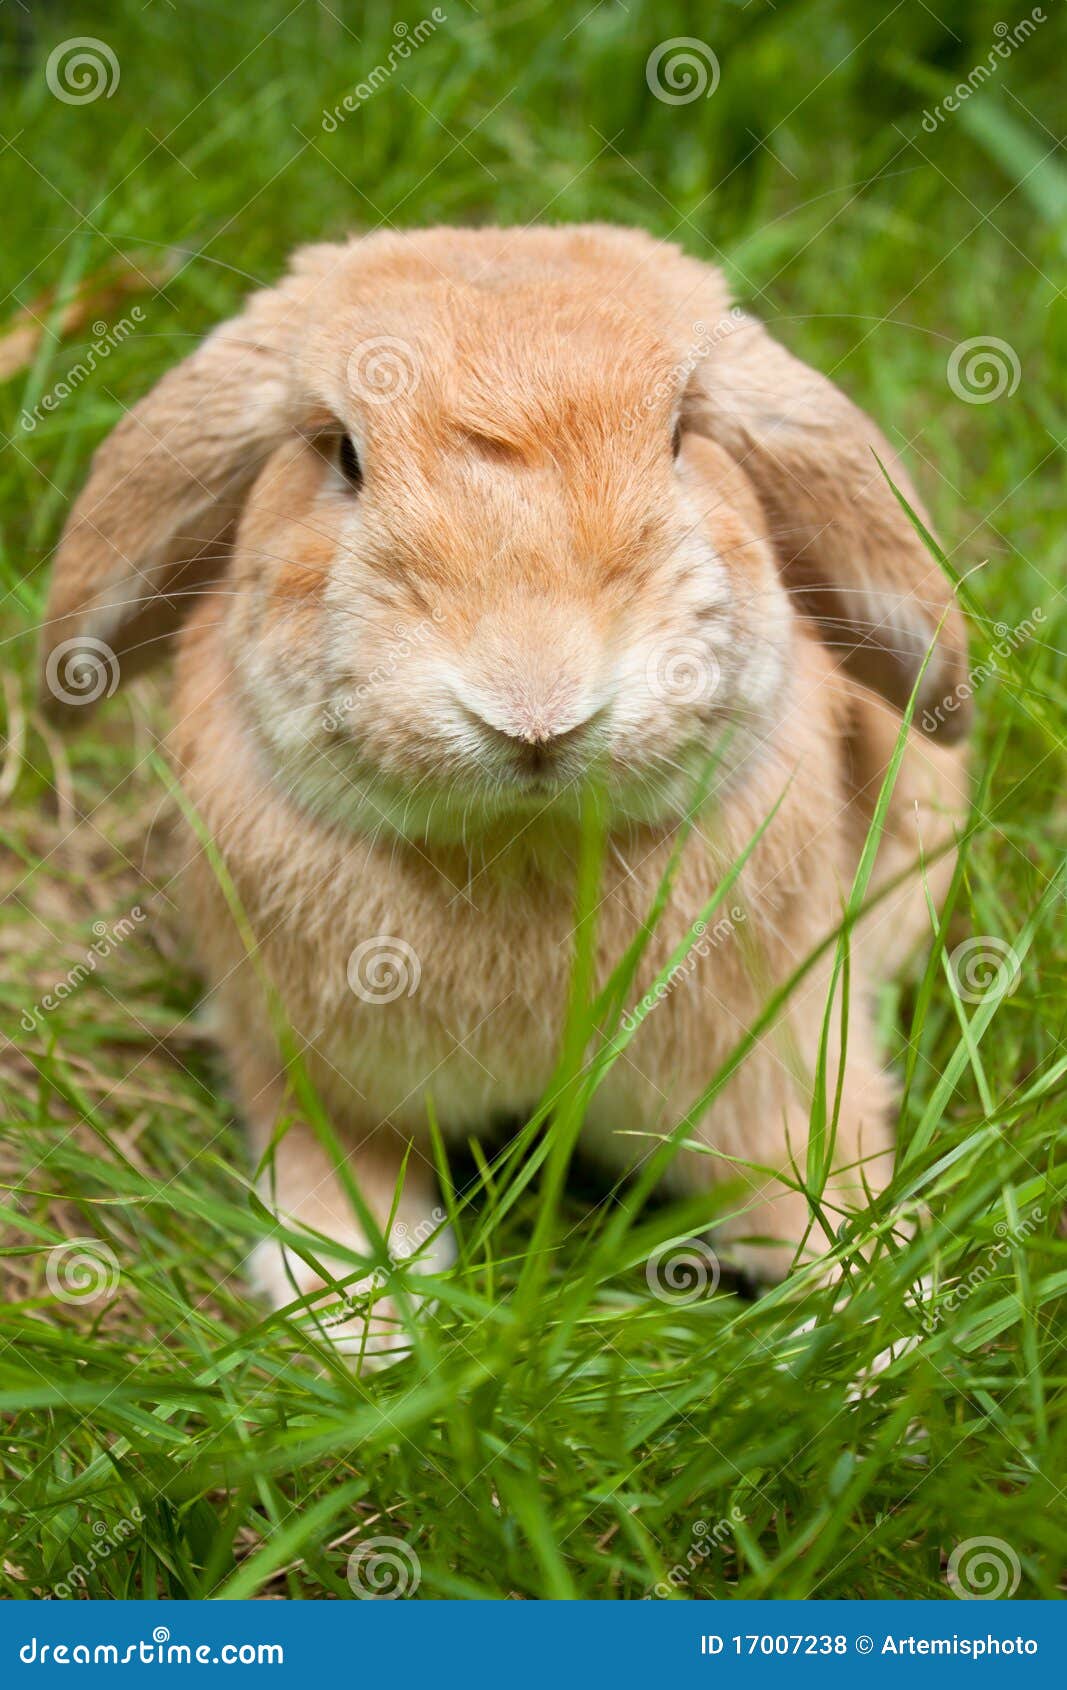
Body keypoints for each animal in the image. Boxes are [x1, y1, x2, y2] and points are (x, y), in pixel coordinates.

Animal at [40, 223, 970, 1362]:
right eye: (340, 453)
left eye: (679, 436)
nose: (535, 706)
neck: (521, 843)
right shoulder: (304, 1063)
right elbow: (326, 1158)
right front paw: (351, 1307)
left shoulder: (778, 1064)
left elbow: (814, 1175)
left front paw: (876, 1340)